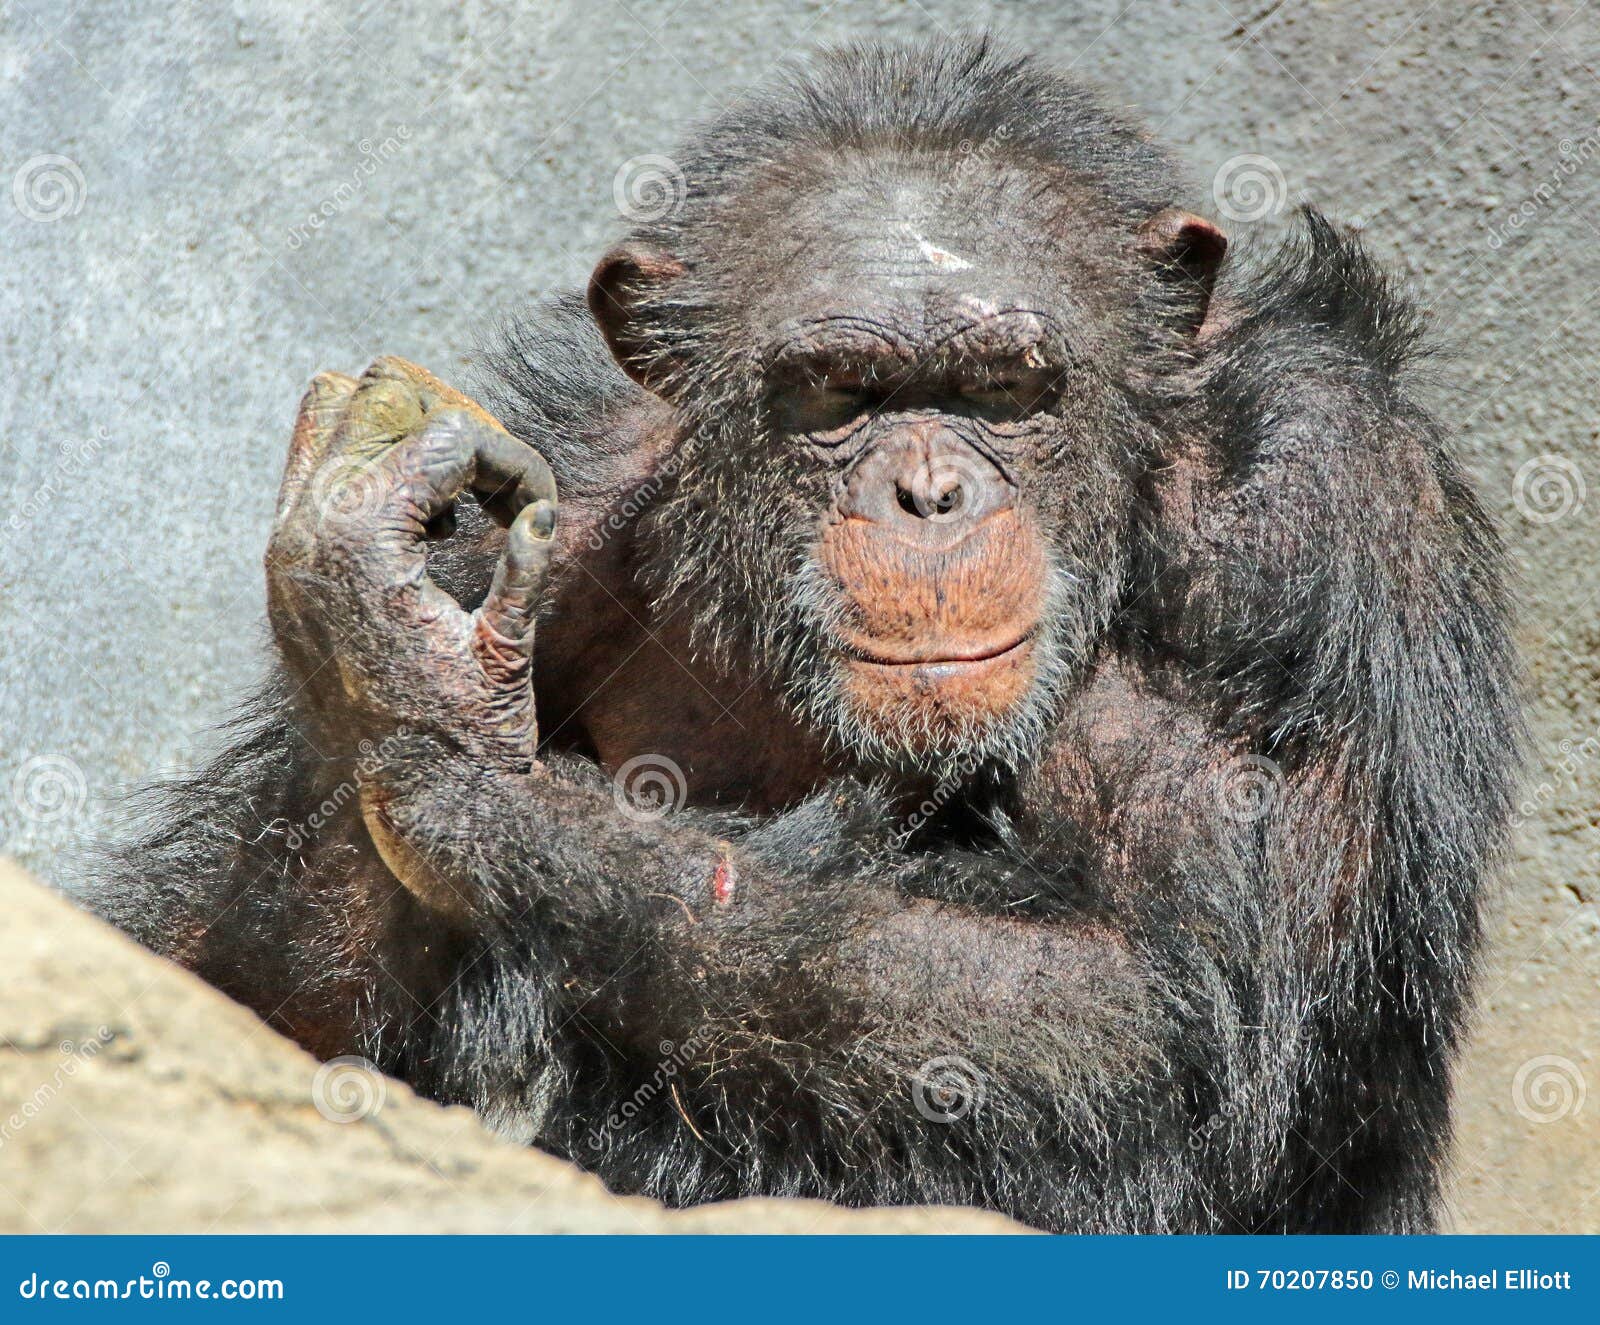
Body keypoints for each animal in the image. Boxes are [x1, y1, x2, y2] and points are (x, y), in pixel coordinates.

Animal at [93, 36, 1519, 1233]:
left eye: (1005, 389)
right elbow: (250, 1011)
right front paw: (367, 631)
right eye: (842, 393)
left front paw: (445, 745)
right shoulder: (549, 495)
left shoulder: (1313, 511)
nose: (930, 493)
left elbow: (1168, 1011)